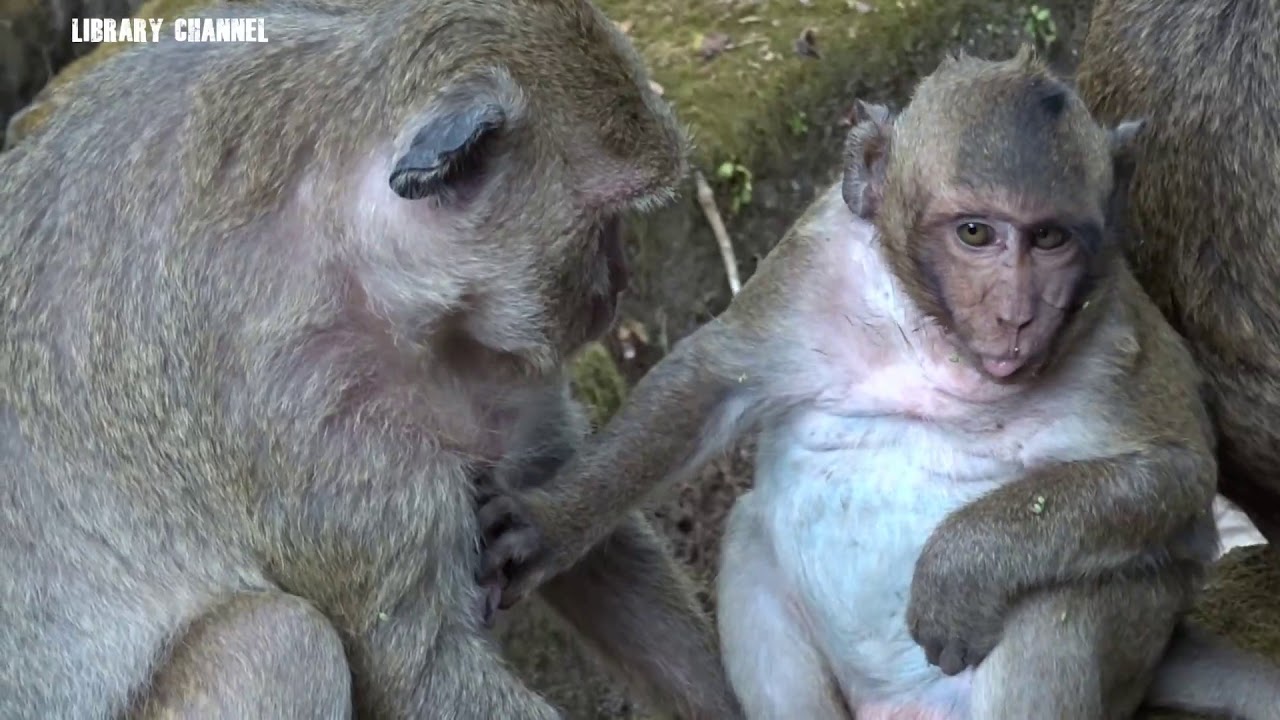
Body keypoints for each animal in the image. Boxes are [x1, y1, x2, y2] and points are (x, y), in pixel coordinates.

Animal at [0, 0, 745, 716]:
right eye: (604, 219)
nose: (618, 280)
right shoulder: (304, 425)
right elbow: (422, 675)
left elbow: (556, 521)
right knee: (279, 641)